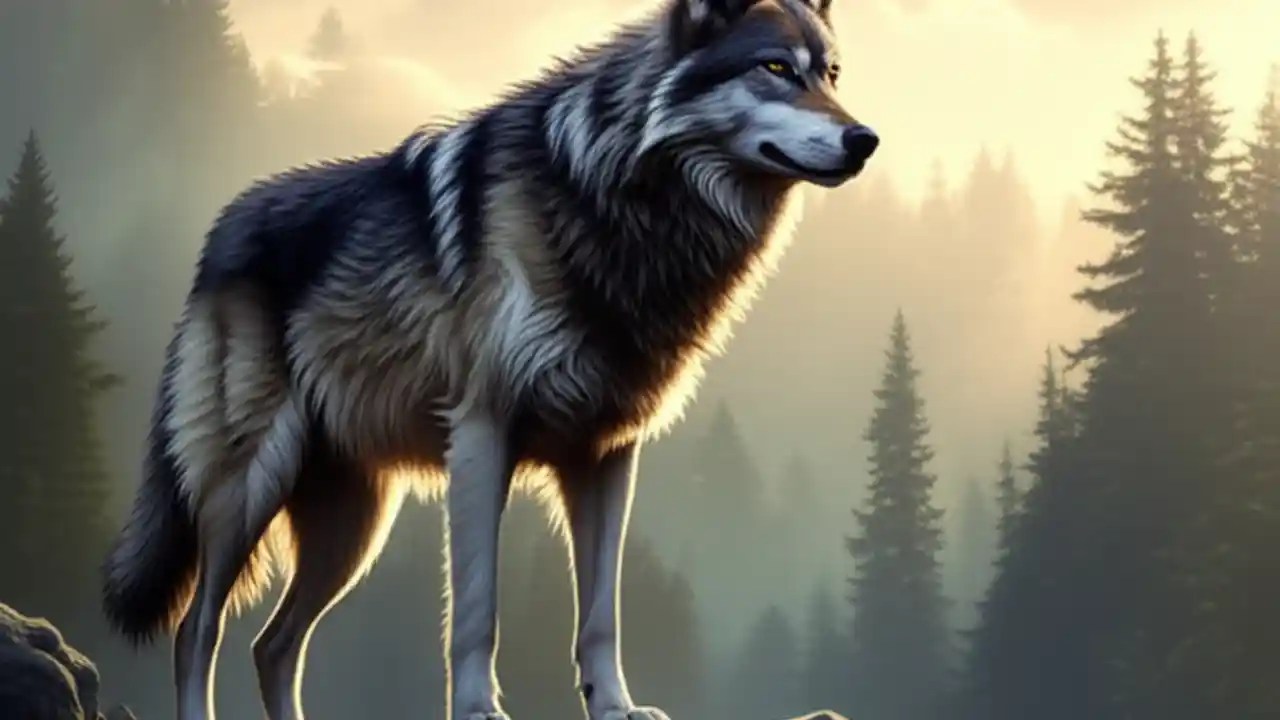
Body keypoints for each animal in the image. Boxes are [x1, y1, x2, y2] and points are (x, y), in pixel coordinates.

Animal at [101, 1, 877, 719]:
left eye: (833, 76)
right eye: (775, 68)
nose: (865, 139)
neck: (619, 201)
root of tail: (218, 232)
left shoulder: (608, 453)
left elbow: (602, 613)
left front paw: (616, 706)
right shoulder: (482, 434)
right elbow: (478, 607)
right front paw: (478, 707)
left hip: (354, 529)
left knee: (273, 644)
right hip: (251, 487)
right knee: (197, 631)